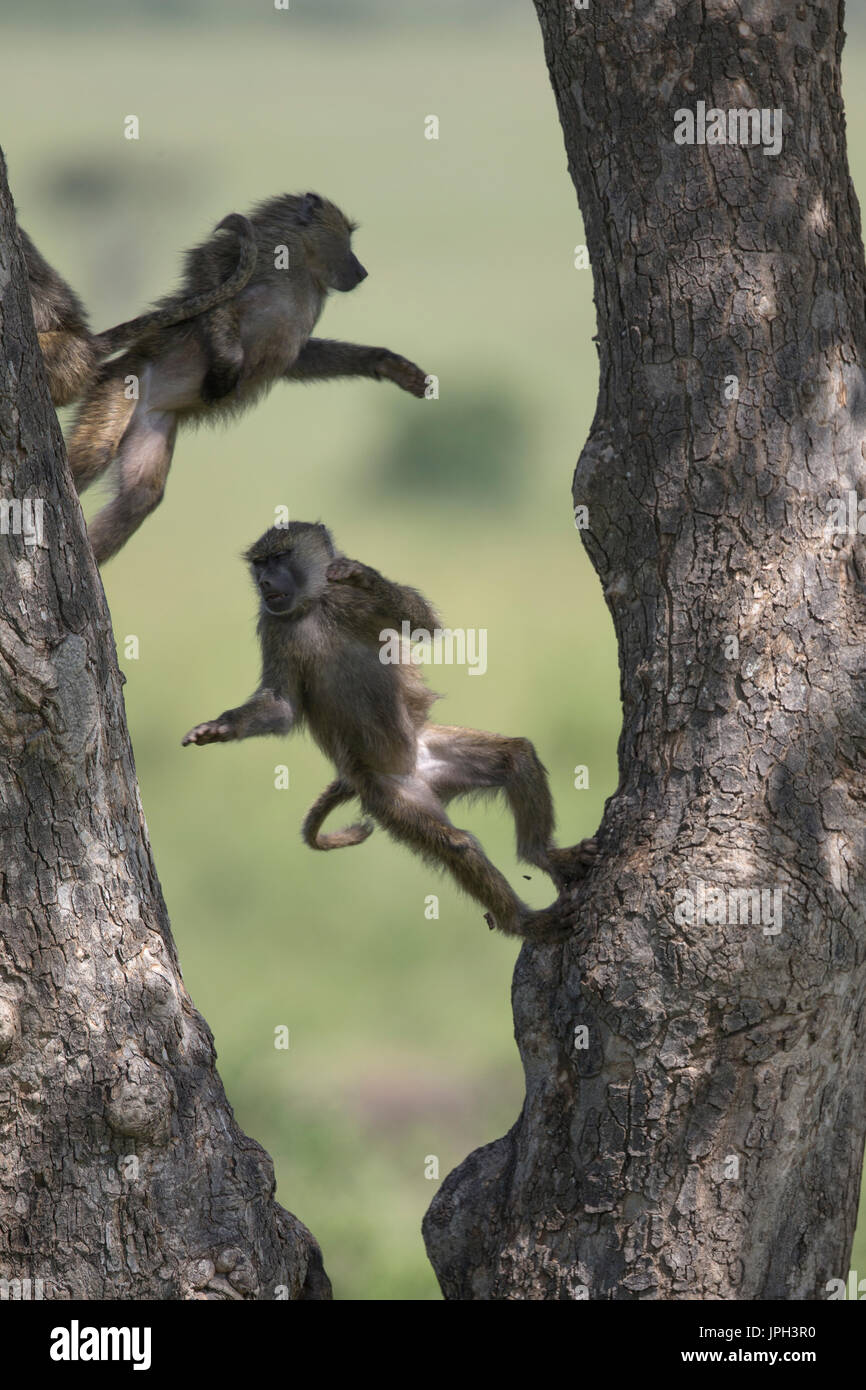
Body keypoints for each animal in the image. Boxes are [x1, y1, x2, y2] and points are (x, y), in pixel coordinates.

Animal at [66, 192, 430, 566]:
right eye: (348, 237)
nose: (362, 271)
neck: (301, 268)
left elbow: (298, 359)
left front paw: (386, 364)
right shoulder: (262, 248)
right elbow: (209, 273)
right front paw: (226, 370)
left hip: (153, 419)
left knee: (141, 495)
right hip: (122, 381)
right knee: (95, 453)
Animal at [181, 522, 597, 940]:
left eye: (280, 557)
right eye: (260, 563)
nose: (266, 581)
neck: (313, 606)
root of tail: (417, 772)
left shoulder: (350, 601)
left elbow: (425, 625)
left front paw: (363, 574)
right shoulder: (272, 626)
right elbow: (281, 707)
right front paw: (222, 726)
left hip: (431, 748)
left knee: (517, 757)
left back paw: (543, 856)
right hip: (387, 794)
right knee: (456, 845)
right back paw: (524, 921)